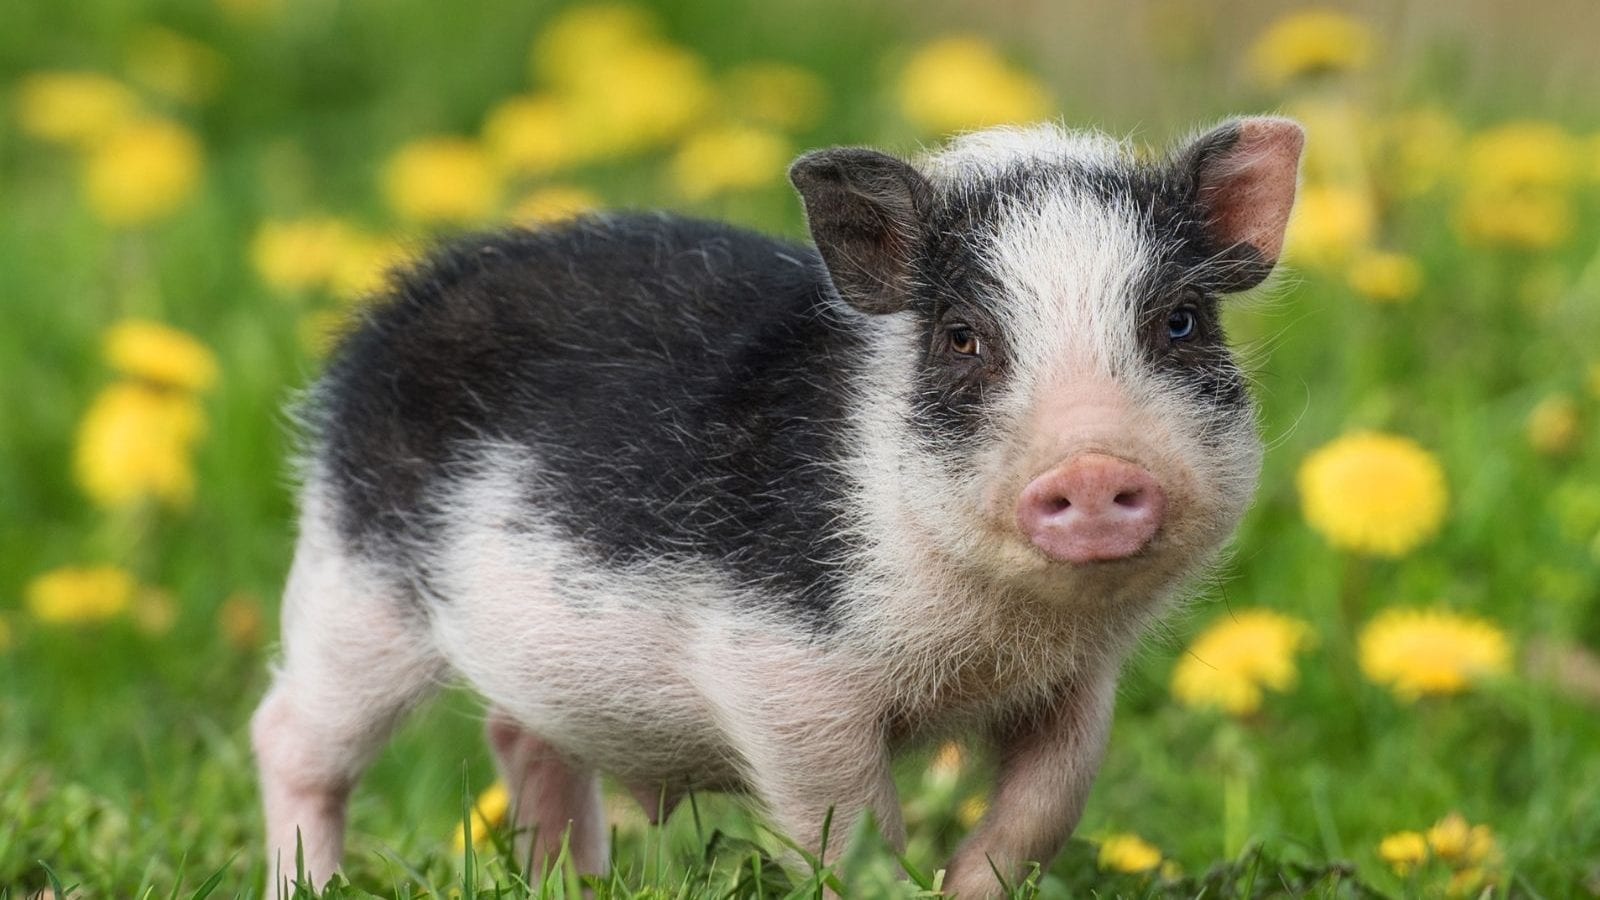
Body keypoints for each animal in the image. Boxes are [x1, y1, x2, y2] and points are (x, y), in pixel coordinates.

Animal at [252, 116, 1303, 897]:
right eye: (963, 336)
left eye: (1180, 322)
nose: (1090, 466)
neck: (994, 636)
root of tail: (390, 313)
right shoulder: (781, 669)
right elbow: (845, 823)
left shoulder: (1078, 683)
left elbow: (1047, 805)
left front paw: (966, 884)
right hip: (359, 576)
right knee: (294, 736)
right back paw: (309, 880)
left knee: (519, 733)